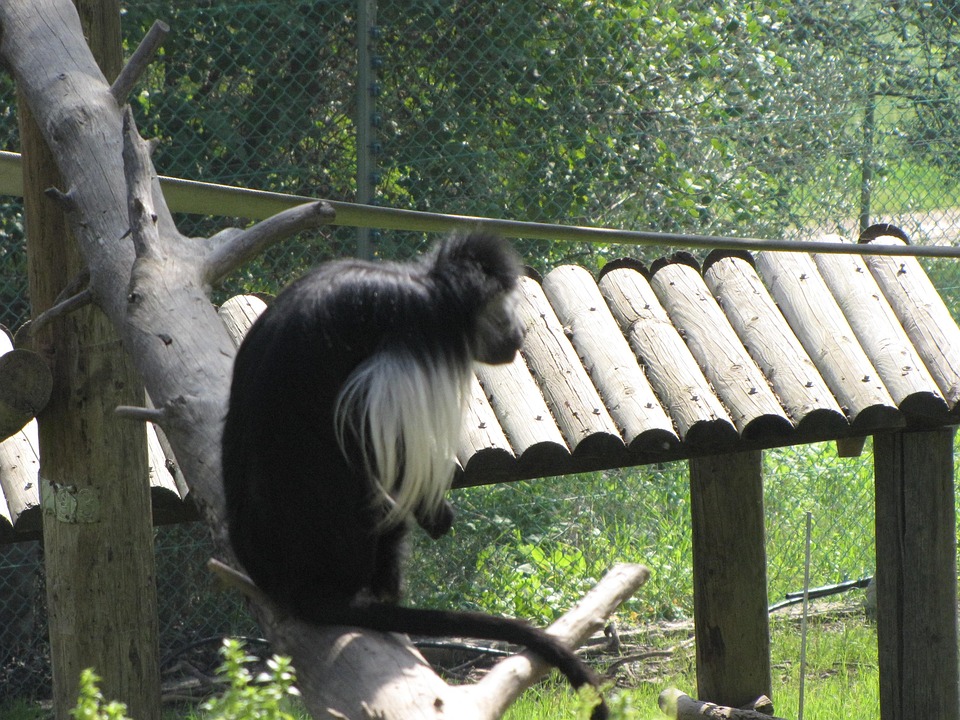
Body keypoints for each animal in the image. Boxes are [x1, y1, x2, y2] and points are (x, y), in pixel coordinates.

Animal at [221, 232, 607, 718]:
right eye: (502, 310)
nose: (518, 333)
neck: (426, 288)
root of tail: (295, 588)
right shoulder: (420, 337)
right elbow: (379, 441)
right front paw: (434, 512)